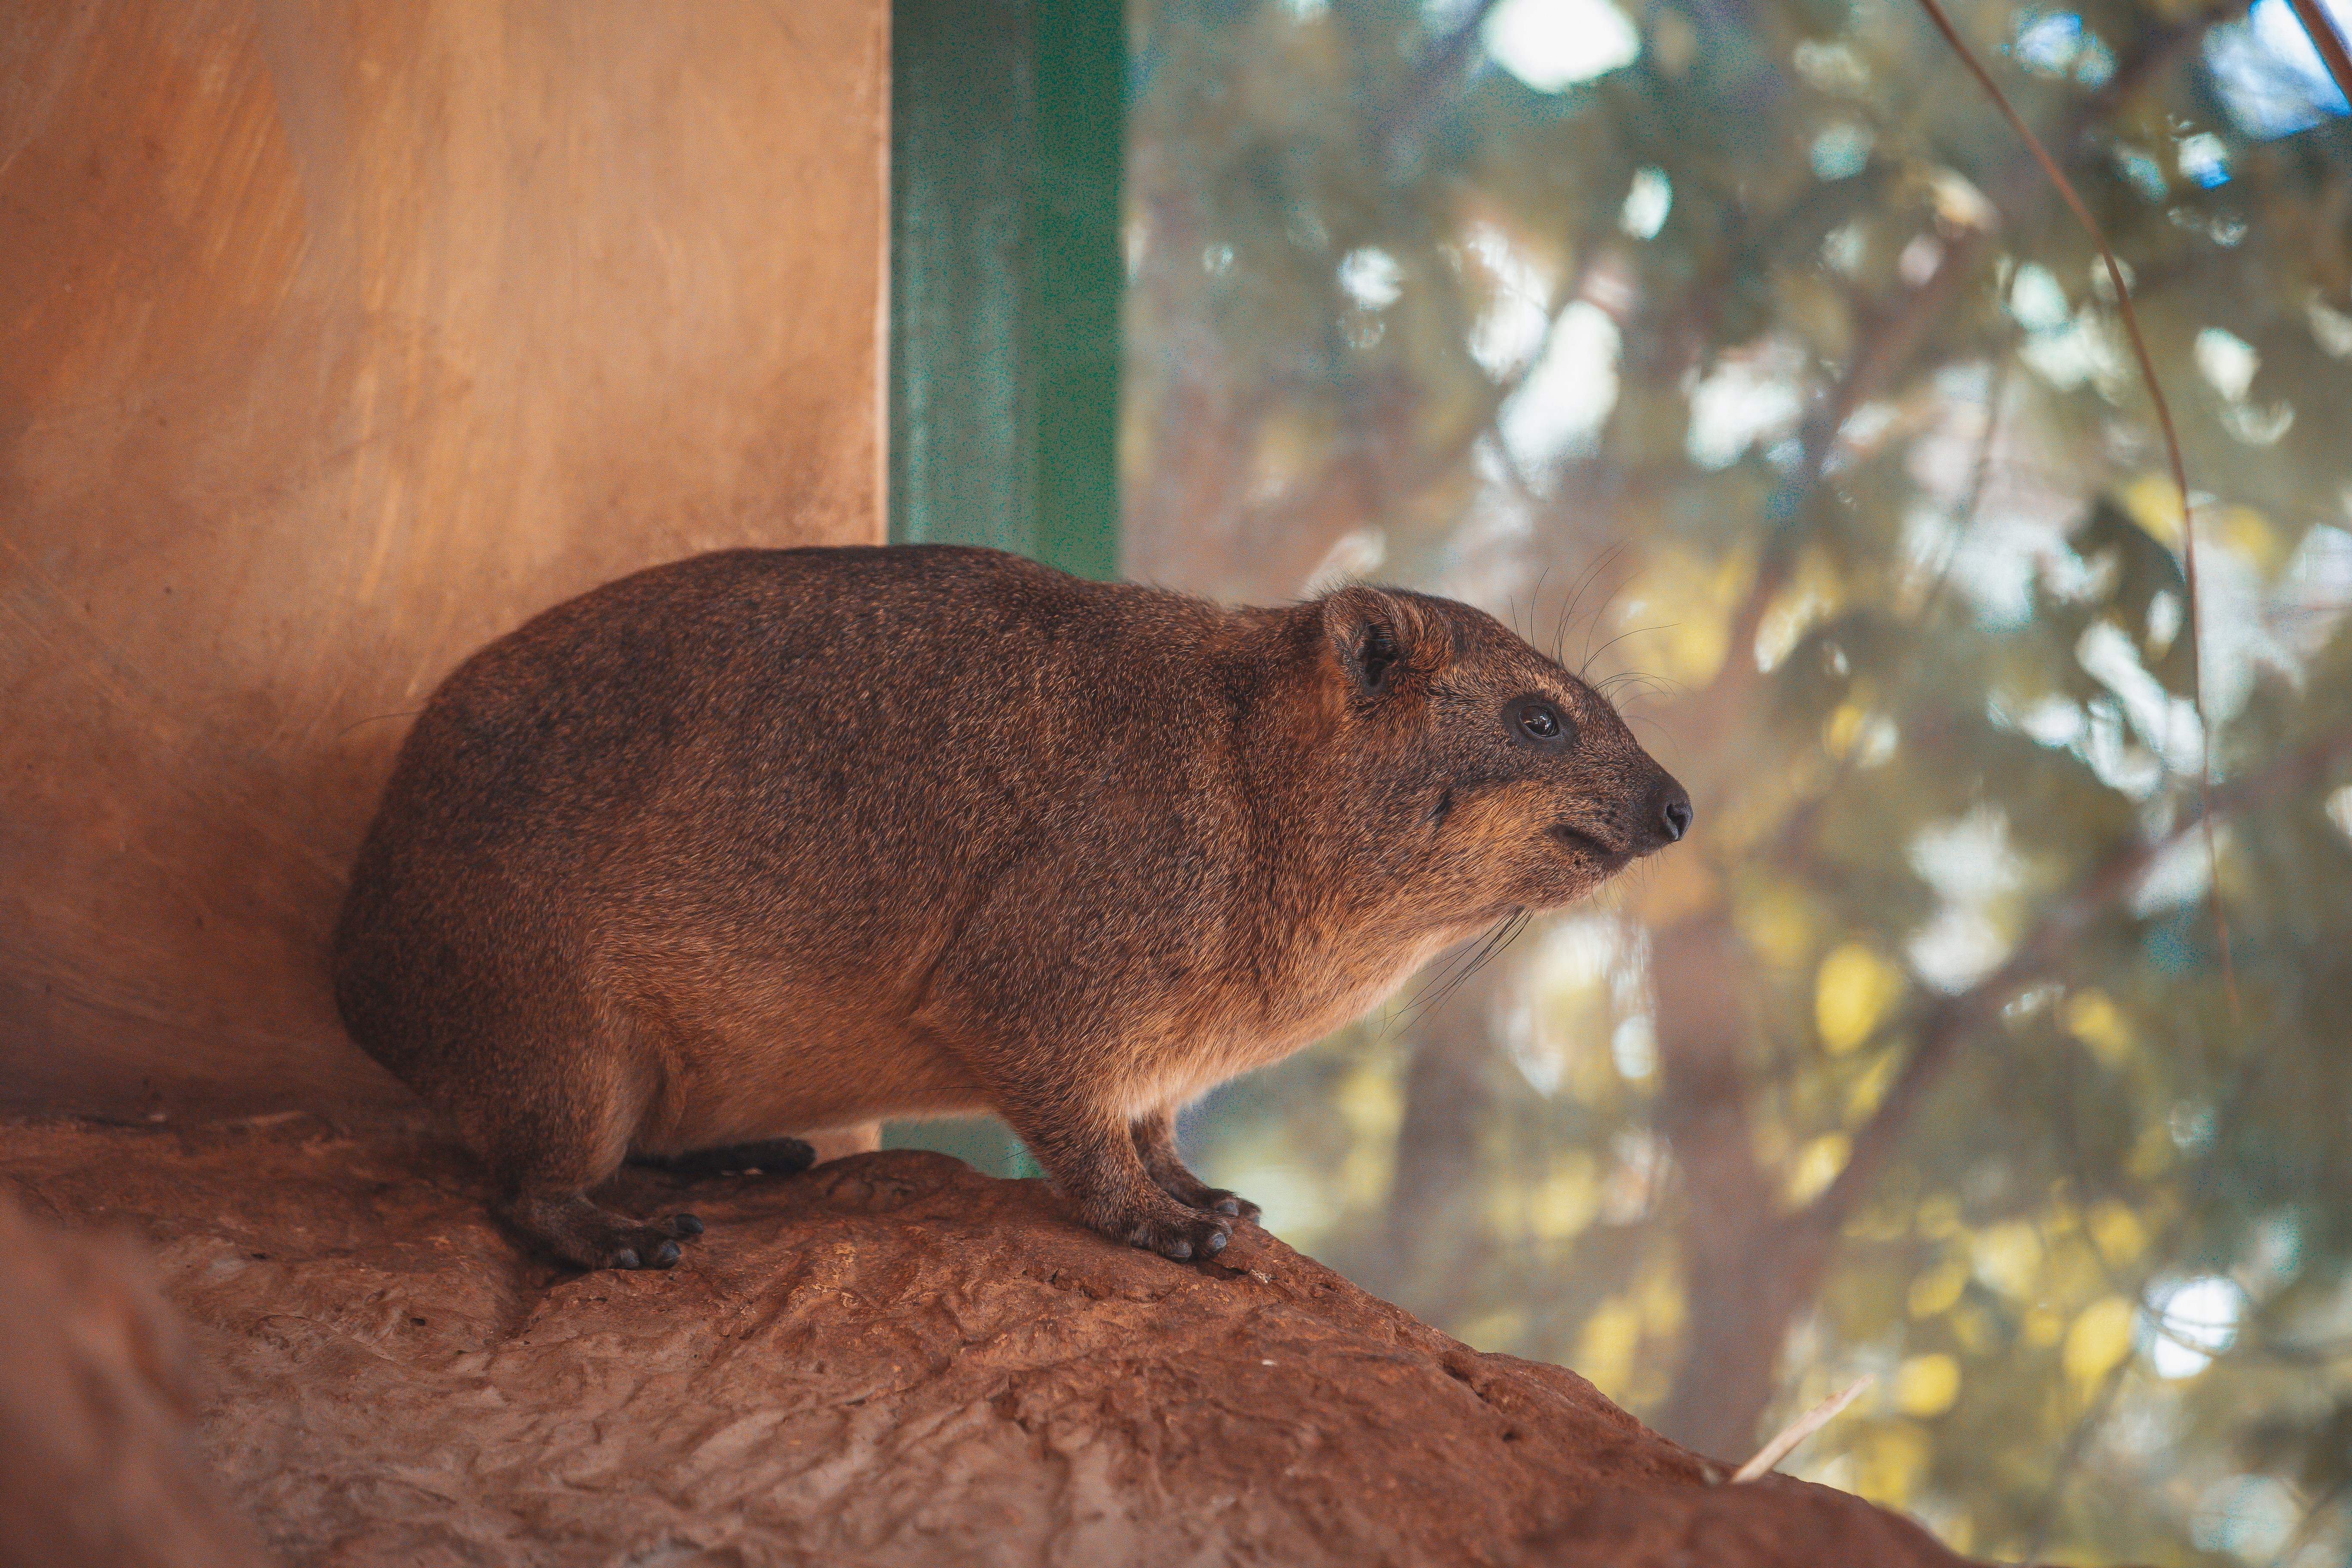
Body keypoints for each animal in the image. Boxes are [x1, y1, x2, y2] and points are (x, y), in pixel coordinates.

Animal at [332, 546, 1691, 1269]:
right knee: (525, 1188)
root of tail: (355, 961)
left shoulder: (1157, 1060)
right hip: (559, 1035)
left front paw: (1208, 1196)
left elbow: (1153, 1127)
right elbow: (1086, 1141)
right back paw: (625, 1233)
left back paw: (751, 1154)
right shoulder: (1035, 986)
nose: (1679, 805)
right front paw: (1162, 1227)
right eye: (1538, 717)